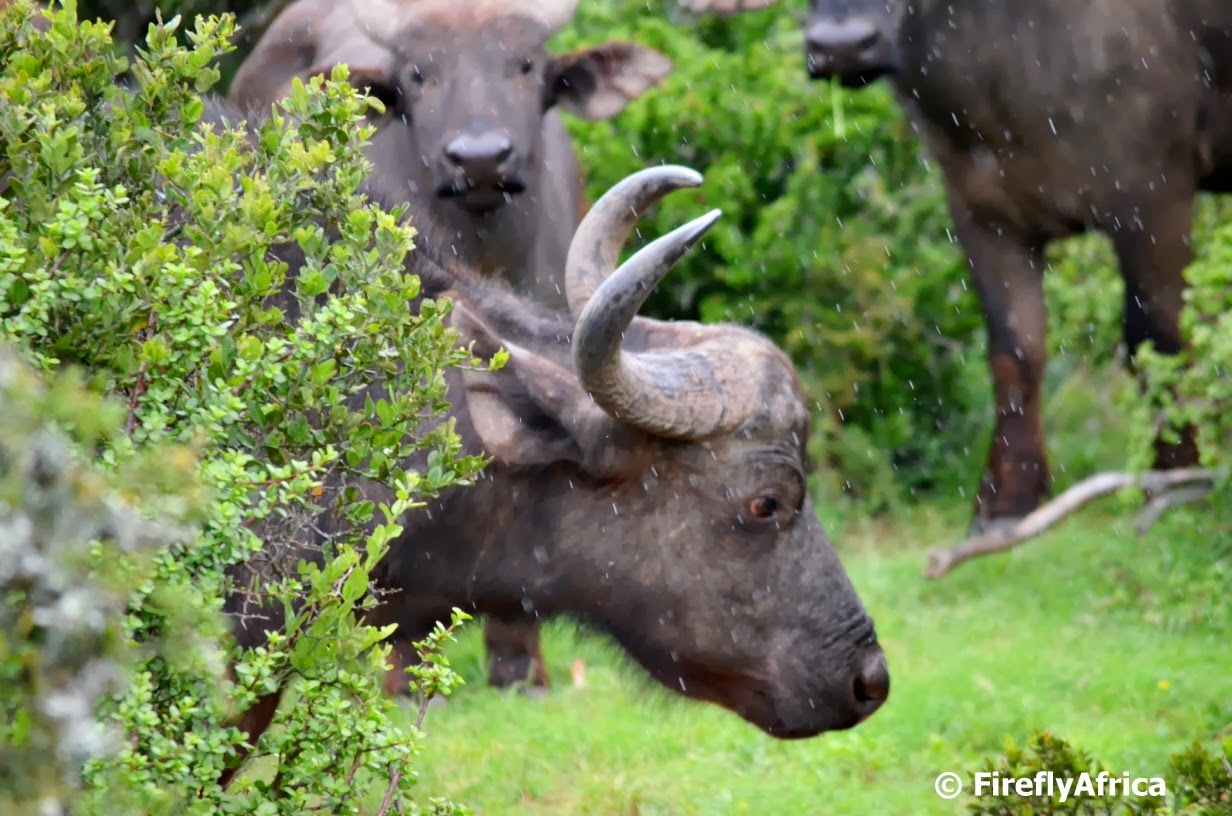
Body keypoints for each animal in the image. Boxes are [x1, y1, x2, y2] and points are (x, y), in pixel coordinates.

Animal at [733, 0, 1231, 532]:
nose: (840, 45)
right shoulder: (980, 209)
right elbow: (1014, 350)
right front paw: (1007, 500)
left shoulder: (1152, 196)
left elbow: (1156, 336)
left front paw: (1174, 477)